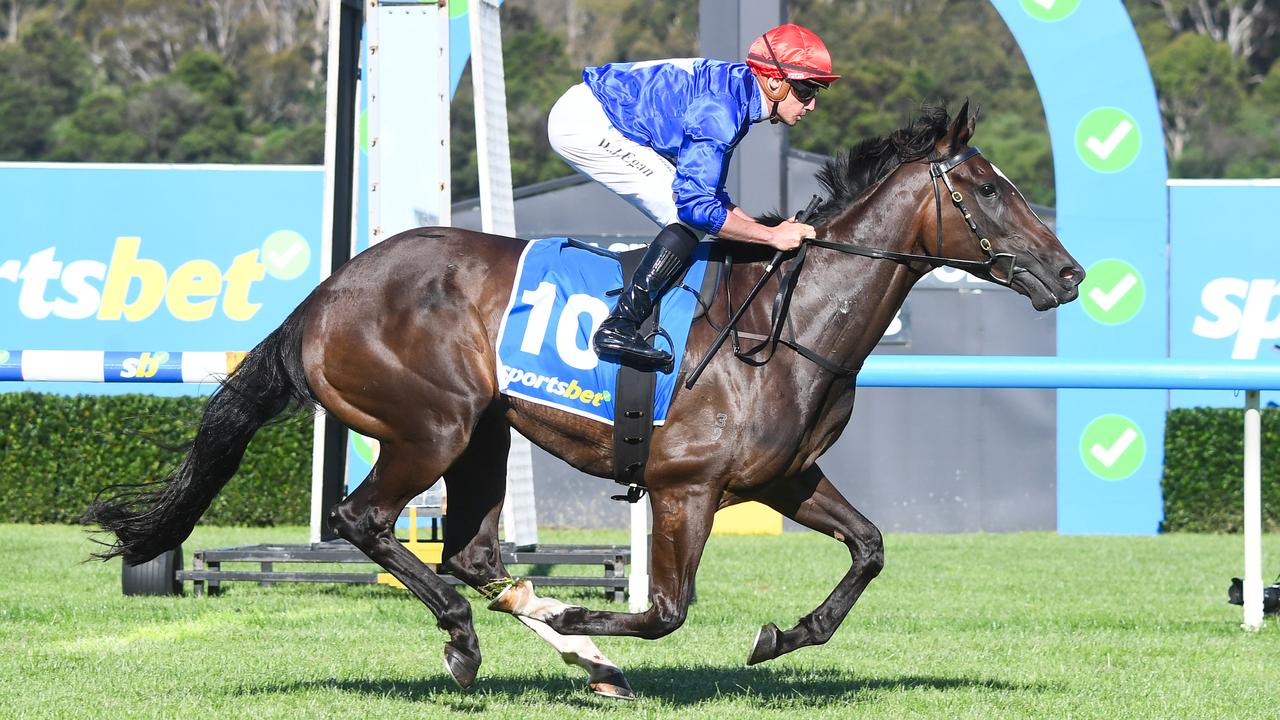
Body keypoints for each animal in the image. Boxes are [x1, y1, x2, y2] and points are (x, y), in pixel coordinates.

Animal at [85, 101, 1083, 699]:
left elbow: (870, 548)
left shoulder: (785, 478)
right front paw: (581, 617)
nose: (1071, 273)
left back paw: (580, 657)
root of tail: (325, 295)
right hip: (431, 427)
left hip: (483, 436)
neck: (788, 321)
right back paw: (474, 642)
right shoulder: (687, 487)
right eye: (986, 186)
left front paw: (782, 634)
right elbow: (669, 609)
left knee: (472, 550)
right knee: (365, 522)